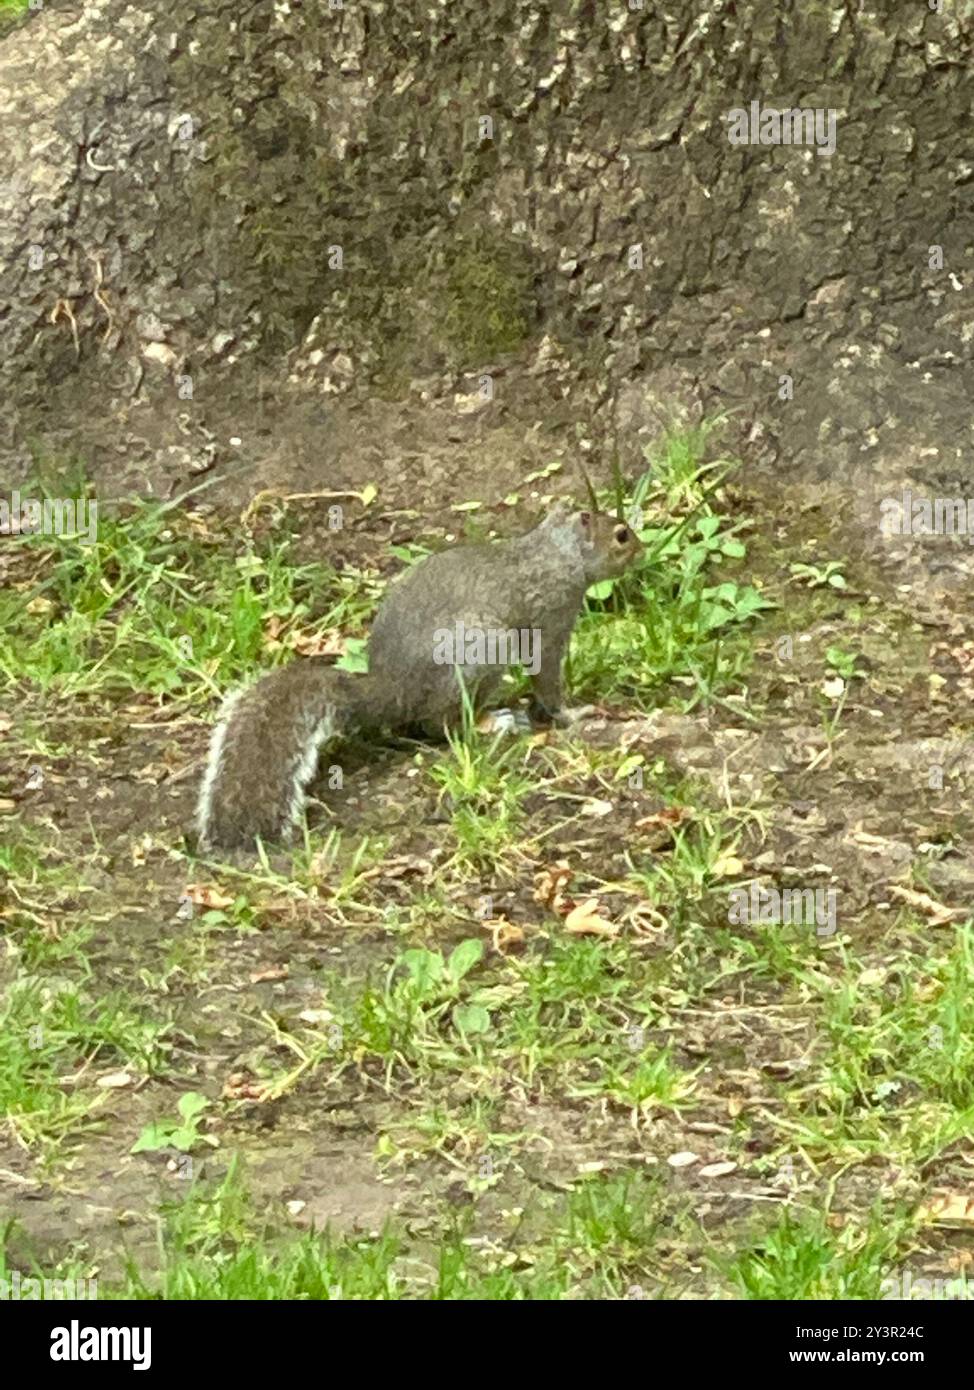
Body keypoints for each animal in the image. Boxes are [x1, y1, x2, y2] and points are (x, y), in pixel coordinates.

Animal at [196, 501, 643, 848]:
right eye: (620, 534)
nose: (640, 548)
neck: (554, 553)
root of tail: (394, 689)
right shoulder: (550, 618)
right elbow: (548, 681)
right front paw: (574, 714)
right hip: (483, 648)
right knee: (439, 725)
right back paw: (492, 722)